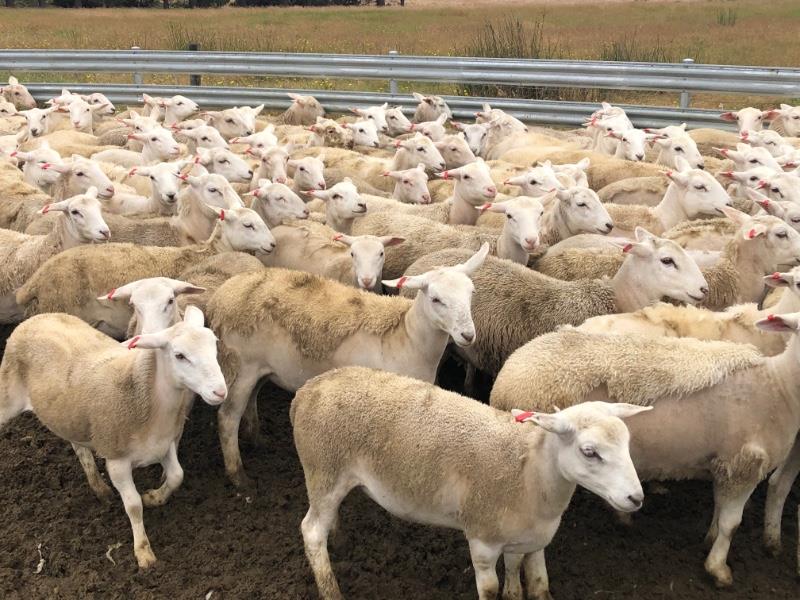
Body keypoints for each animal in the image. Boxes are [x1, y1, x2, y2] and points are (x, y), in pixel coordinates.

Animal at [0, 306, 227, 568]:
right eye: (180, 356)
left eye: (214, 345)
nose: (220, 392)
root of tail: (35, 318)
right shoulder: (117, 461)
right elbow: (134, 505)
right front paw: (143, 552)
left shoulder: (164, 444)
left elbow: (177, 476)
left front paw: (155, 498)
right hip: (8, 398)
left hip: (72, 414)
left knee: (79, 447)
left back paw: (99, 488)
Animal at [207, 244, 488, 486]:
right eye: (436, 299)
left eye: (471, 293)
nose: (467, 335)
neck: (408, 337)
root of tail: (221, 297)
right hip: (241, 366)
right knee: (227, 418)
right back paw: (238, 475)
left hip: (259, 367)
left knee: (251, 399)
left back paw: (257, 439)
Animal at [292, 366, 647, 600]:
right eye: (589, 452)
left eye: (628, 443)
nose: (636, 498)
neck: (530, 474)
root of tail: (308, 388)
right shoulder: (482, 539)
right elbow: (490, 589)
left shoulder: (530, 540)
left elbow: (535, 582)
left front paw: (516, 591)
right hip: (323, 468)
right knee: (311, 531)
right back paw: (331, 591)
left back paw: (340, 540)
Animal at [488, 315, 800, 586]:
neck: (778, 386)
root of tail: (507, 374)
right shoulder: (745, 464)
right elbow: (732, 523)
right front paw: (718, 569)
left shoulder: (725, 463)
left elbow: (720, 506)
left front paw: (710, 541)